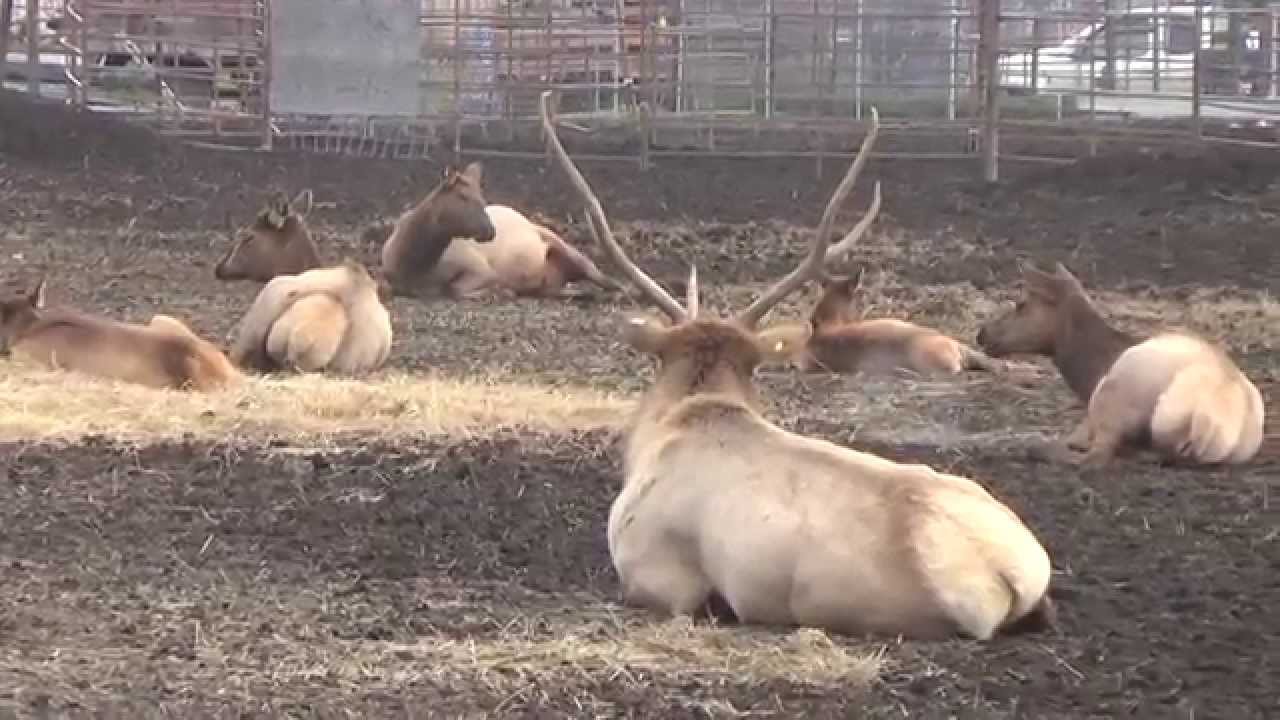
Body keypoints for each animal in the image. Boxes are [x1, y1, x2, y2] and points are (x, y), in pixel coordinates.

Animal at [379, 162, 622, 300]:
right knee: (558, 290)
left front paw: (499, 291)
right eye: (463, 196)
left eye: (482, 196)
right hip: (548, 284)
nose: (490, 230)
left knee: (599, 273)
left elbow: (455, 290)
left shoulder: (482, 268)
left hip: (559, 242)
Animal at [975, 262, 1264, 468]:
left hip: (1114, 397)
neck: (1089, 374)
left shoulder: (1090, 416)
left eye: (1021, 304)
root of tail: (1208, 428)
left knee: (1095, 458)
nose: (982, 334)